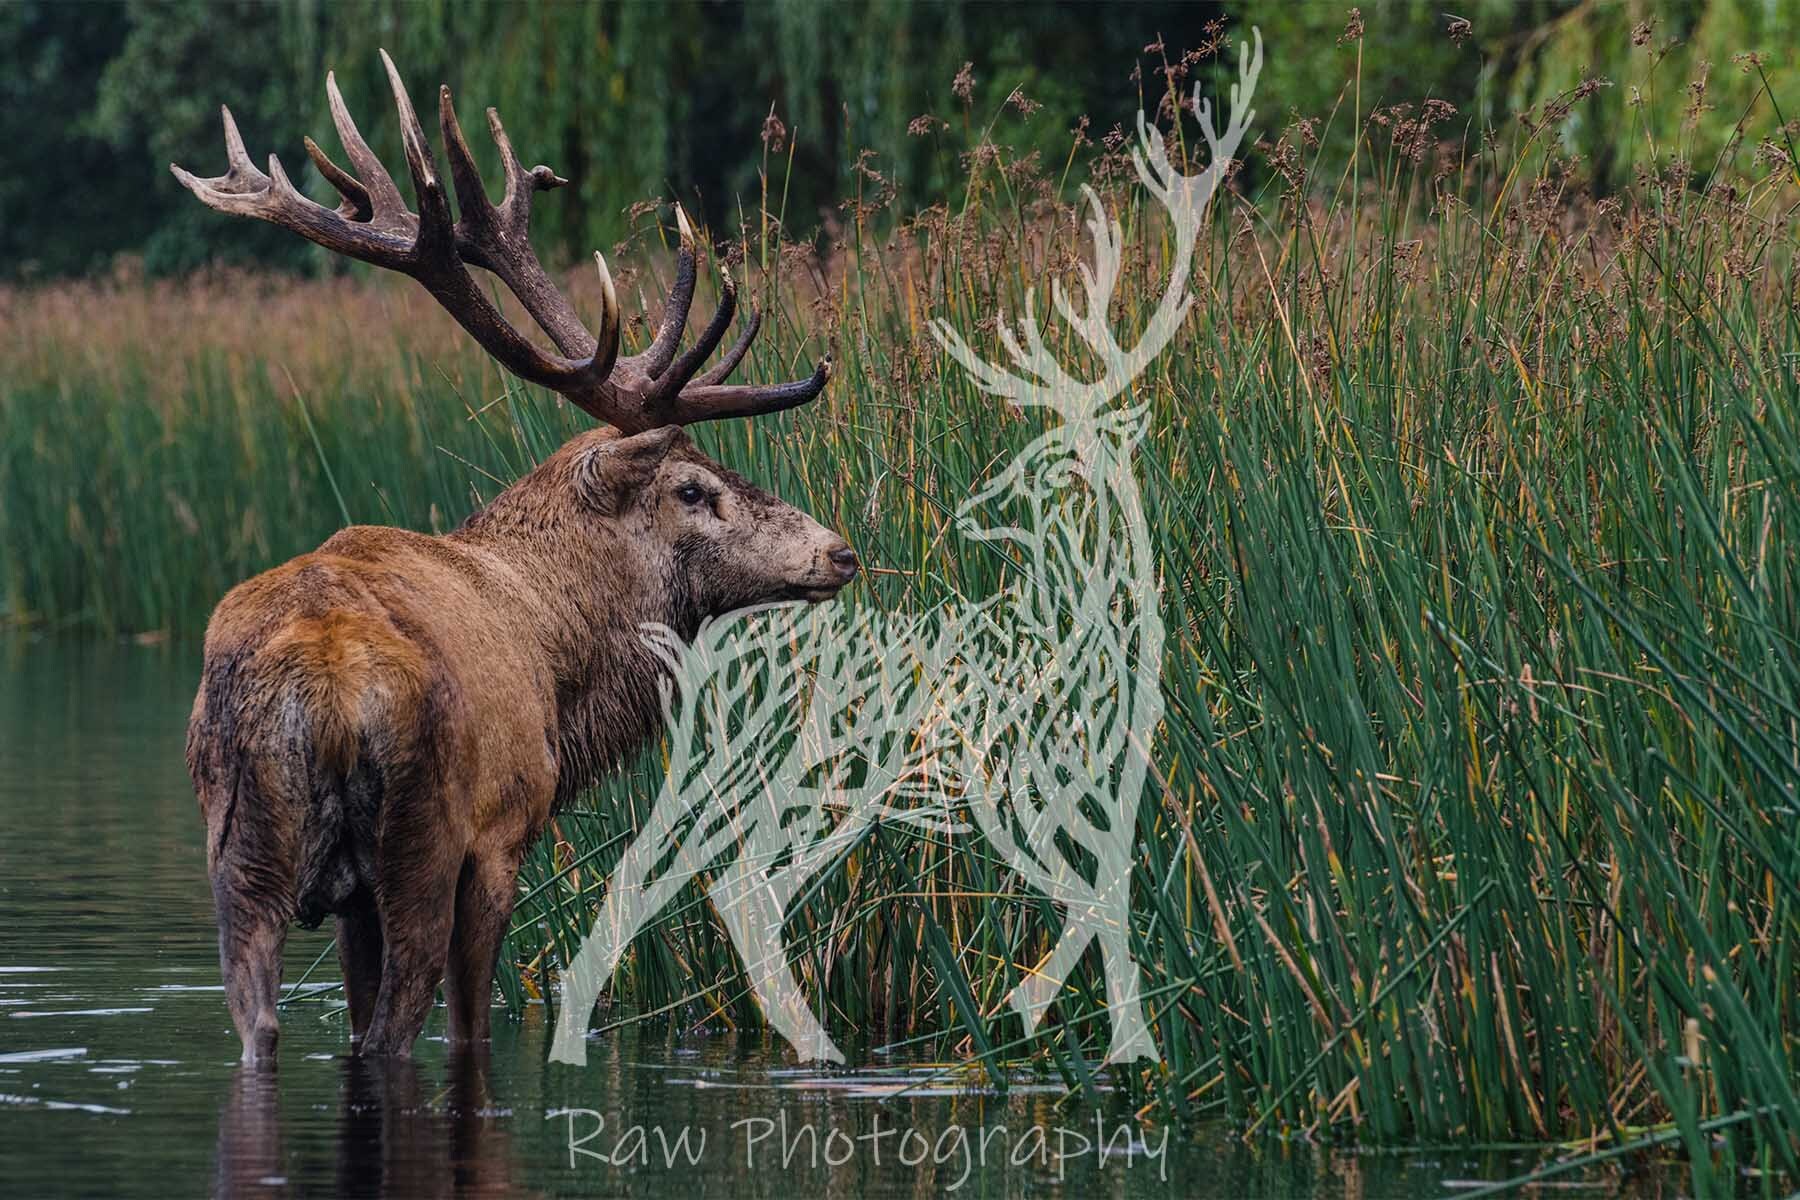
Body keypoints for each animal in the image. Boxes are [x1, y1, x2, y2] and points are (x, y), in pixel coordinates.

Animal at [174, 51, 858, 1064]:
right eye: (693, 489)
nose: (838, 551)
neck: (562, 661)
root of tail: (326, 690)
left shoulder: (344, 899)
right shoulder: (506, 832)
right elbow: (471, 1021)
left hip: (240, 840)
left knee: (261, 1017)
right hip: (421, 834)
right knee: (402, 1022)